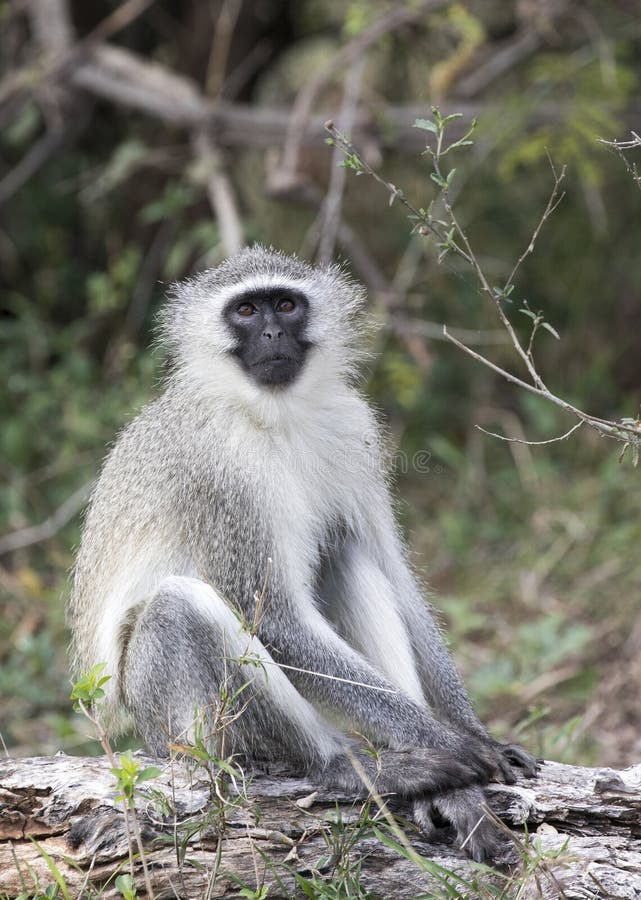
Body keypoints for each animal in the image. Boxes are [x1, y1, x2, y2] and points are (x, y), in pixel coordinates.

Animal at [68, 246, 537, 862]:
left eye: (286, 305)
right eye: (245, 310)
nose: (272, 332)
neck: (274, 414)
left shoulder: (356, 428)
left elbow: (395, 577)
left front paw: (475, 735)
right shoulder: (216, 472)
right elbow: (272, 616)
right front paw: (451, 744)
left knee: (347, 555)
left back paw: (449, 796)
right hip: (181, 728)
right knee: (180, 608)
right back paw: (346, 766)